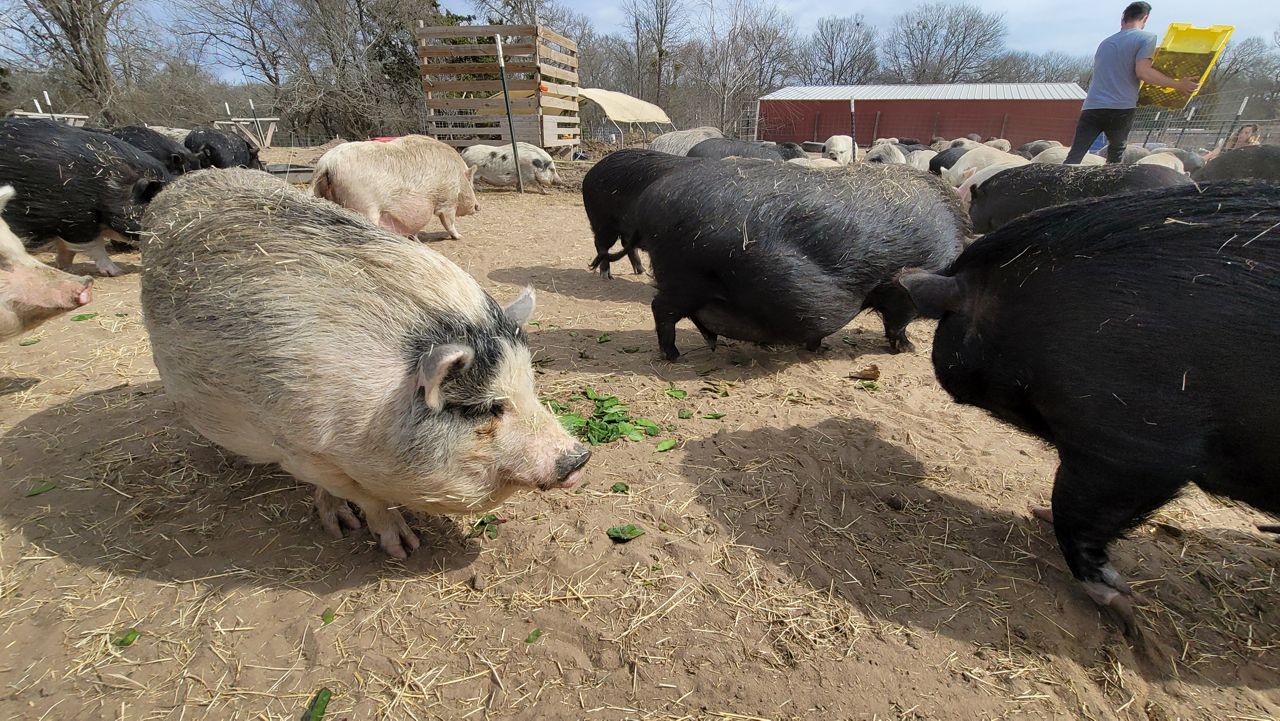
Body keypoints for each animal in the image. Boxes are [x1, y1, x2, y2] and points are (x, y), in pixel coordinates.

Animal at [0, 118, 169, 276]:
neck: (111, 186)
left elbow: (67, 247)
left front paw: (64, 267)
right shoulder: (75, 220)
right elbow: (94, 245)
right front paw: (116, 272)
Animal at [141, 169, 591, 558]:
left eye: (529, 388)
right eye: (486, 408)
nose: (579, 458)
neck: (375, 419)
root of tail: (176, 186)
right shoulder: (301, 449)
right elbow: (367, 498)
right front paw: (398, 547)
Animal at [312, 135, 479, 240]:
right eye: (471, 184)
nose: (478, 206)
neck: (458, 177)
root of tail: (327, 164)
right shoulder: (447, 200)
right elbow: (448, 221)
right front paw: (460, 237)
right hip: (363, 205)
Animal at [582, 149, 706, 278]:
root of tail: (590, 172)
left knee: (626, 245)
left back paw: (642, 272)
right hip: (603, 222)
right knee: (601, 245)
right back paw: (607, 276)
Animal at [629, 159, 967, 360]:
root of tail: (648, 198)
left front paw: (819, 348)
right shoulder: (900, 289)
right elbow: (897, 323)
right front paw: (910, 349)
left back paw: (713, 344)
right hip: (684, 278)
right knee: (660, 308)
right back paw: (673, 355)